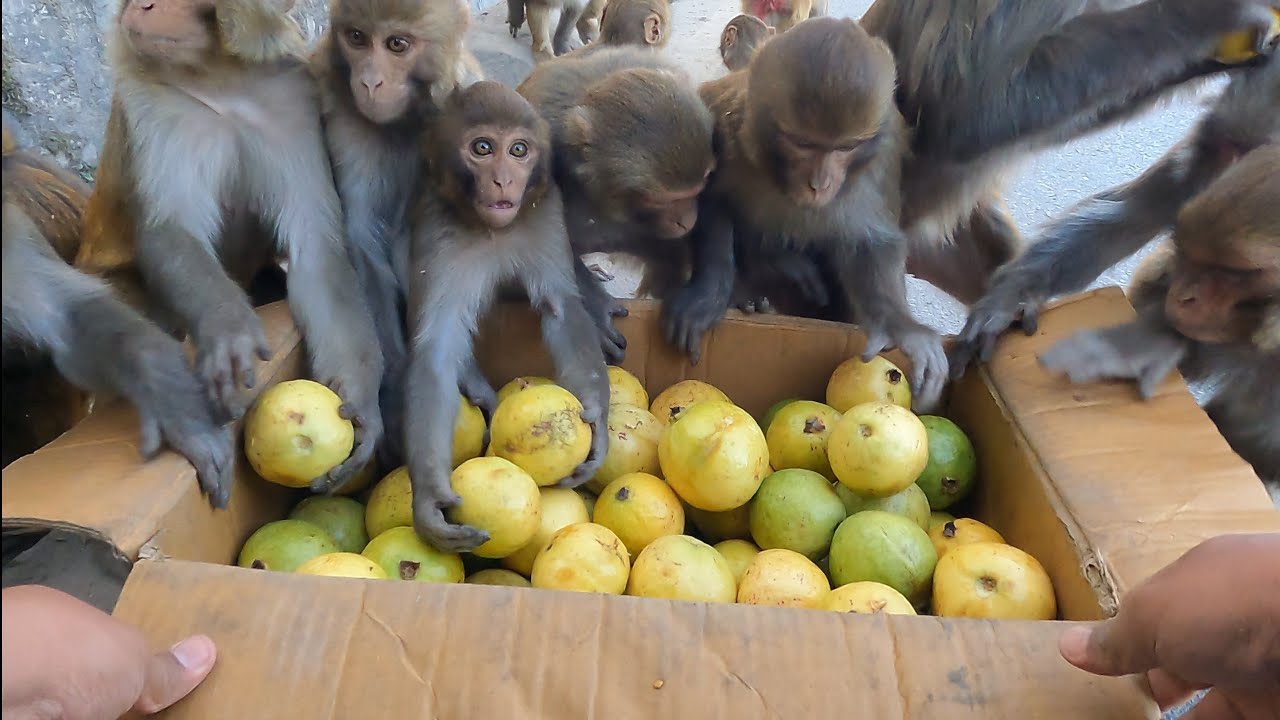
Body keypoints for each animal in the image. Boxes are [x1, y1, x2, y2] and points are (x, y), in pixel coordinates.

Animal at [76, 0, 384, 495]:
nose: (143, 6)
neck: (220, 78)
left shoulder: (293, 102)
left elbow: (316, 248)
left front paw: (361, 400)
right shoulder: (152, 101)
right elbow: (170, 228)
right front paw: (228, 328)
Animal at [312, 0, 491, 468]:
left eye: (397, 45)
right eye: (357, 38)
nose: (369, 81)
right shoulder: (341, 106)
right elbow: (360, 235)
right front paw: (389, 392)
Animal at [402, 81, 611, 551]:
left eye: (519, 150)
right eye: (483, 148)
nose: (503, 179)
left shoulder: (545, 211)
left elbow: (561, 307)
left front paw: (596, 420)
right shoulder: (439, 230)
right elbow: (437, 345)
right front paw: (429, 497)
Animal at [669, 18, 948, 410]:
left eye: (846, 147)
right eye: (802, 143)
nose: (819, 183)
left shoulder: (880, 161)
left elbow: (872, 242)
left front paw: (901, 327)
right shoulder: (726, 126)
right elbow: (710, 203)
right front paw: (708, 293)